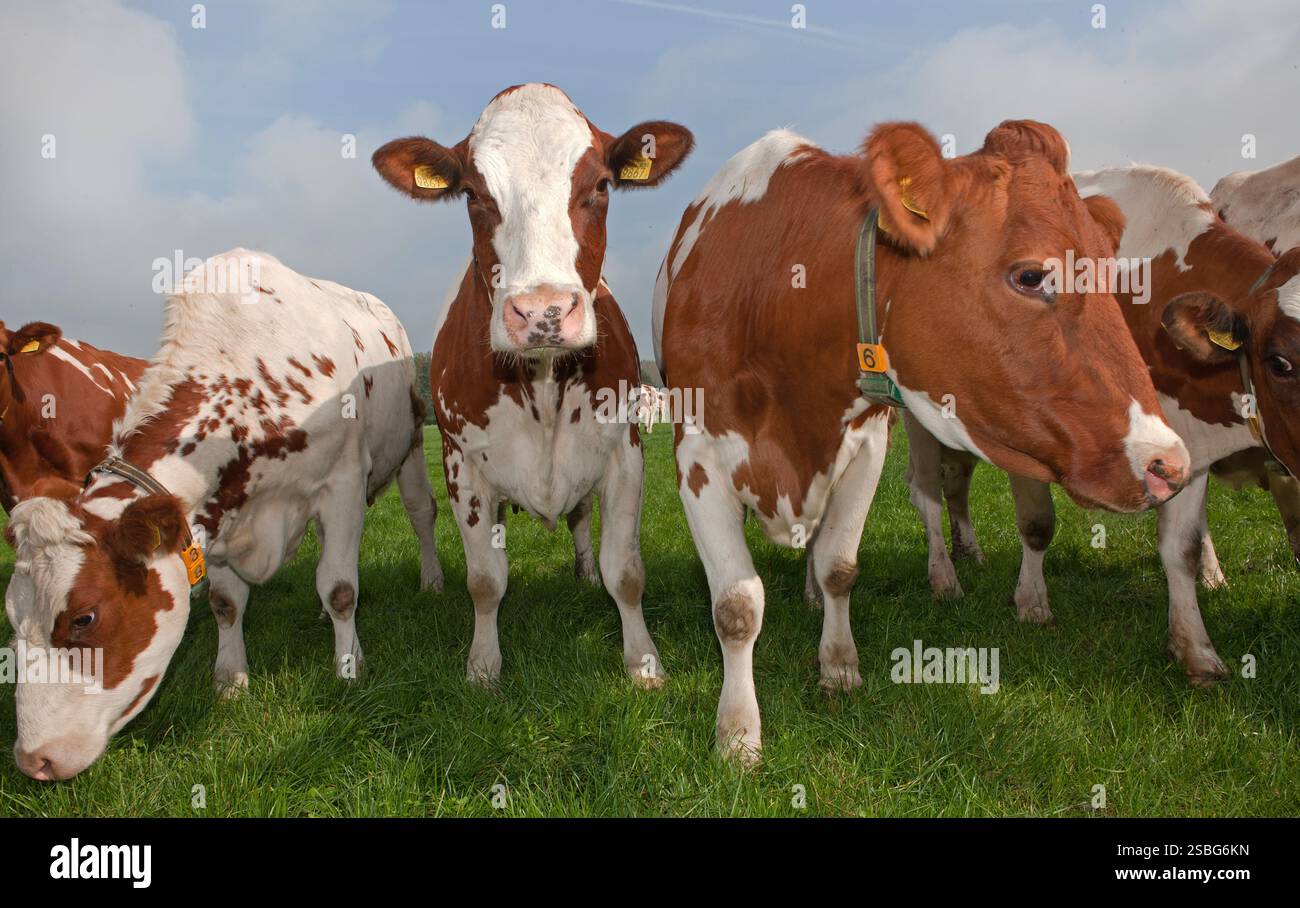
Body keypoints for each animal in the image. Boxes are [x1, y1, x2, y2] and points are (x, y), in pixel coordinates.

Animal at [371, 83, 692, 687]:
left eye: (601, 185)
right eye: (472, 193)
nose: (542, 312)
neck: (543, 385)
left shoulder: (625, 452)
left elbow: (626, 571)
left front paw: (643, 662)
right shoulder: (461, 465)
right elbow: (484, 579)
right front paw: (483, 666)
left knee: (582, 521)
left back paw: (584, 573)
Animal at [654, 120, 1191, 762]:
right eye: (1031, 275)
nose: (1169, 463)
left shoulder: (865, 445)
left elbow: (839, 566)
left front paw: (839, 666)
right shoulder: (697, 459)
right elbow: (736, 605)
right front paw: (737, 735)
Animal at [906, 164, 1300, 686]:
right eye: (1281, 363)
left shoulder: (1187, 448)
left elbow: (1184, 546)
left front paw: (1194, 650)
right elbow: (1037, 522)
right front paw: (1032, 603)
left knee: (955, 480)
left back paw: (969, 551)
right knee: (927, 489)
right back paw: (943, 575)